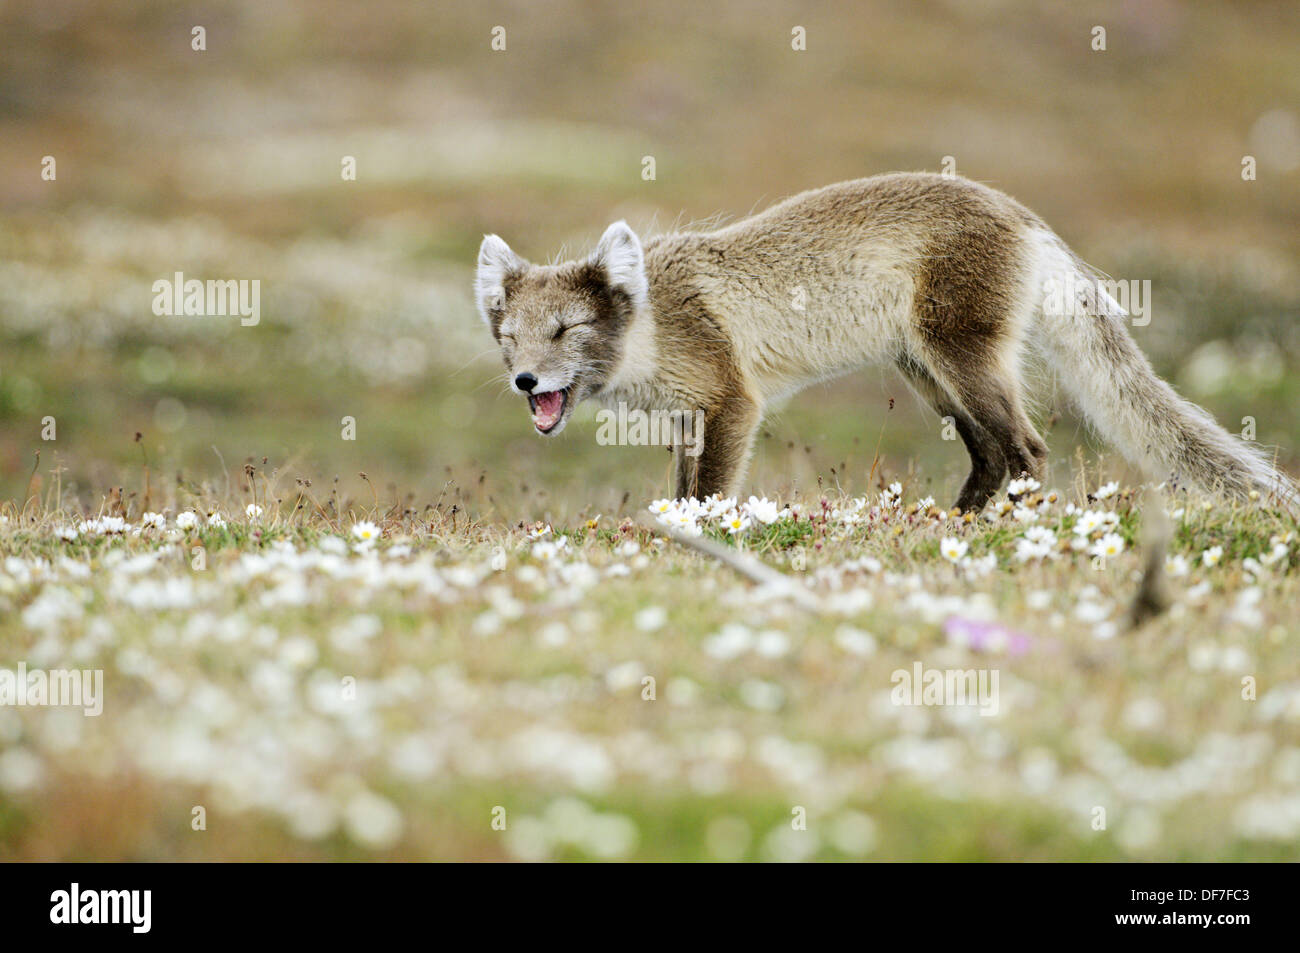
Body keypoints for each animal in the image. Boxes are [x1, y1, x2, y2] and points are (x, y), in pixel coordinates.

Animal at [474, 172, 1294, 511]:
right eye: (510, 339)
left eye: (566, 329)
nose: (525, 382)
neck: (653, 322)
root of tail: (1024, 215)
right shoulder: (688, 419)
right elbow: (679, 491)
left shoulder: (732, 401)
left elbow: (707, 495)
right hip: (928, 373)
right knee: (991, 455)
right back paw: (952, 523)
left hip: (962, 358)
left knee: (1028, 450)